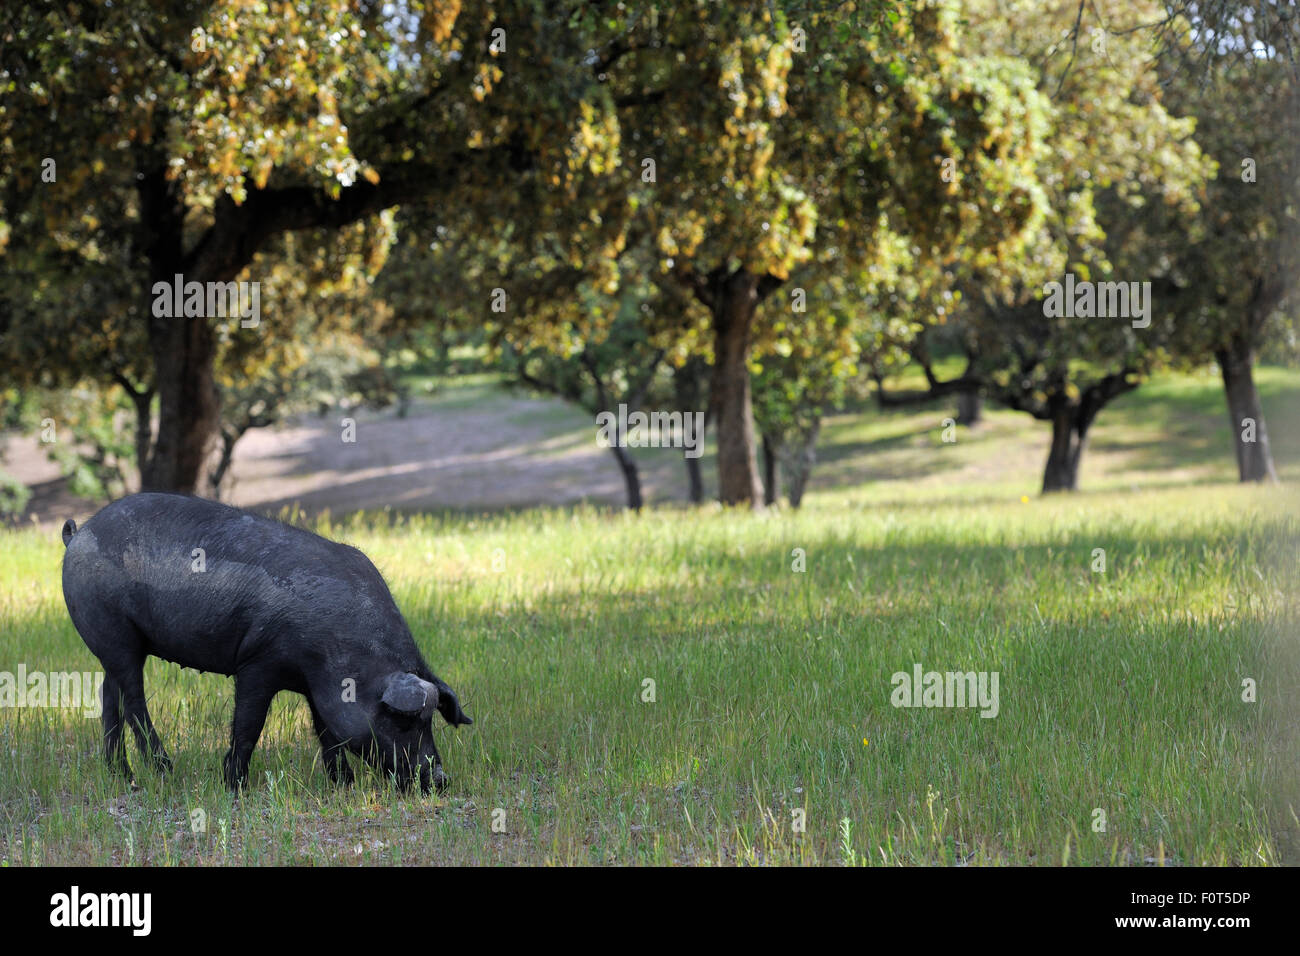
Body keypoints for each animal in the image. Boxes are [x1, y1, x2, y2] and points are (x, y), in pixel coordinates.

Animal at [60, 492, 472, 793]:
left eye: (430, 721)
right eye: (402, 722)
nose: (440, 780)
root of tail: (77, 534)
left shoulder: (316, 687)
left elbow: (326, 731)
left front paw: (343, 786)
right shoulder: (258, 662)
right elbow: (249, 724)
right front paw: (234, 786)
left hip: (114, 644)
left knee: (108, 696)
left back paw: (122, 775)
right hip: (115, 632)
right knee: (133, 700)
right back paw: (164, 770)